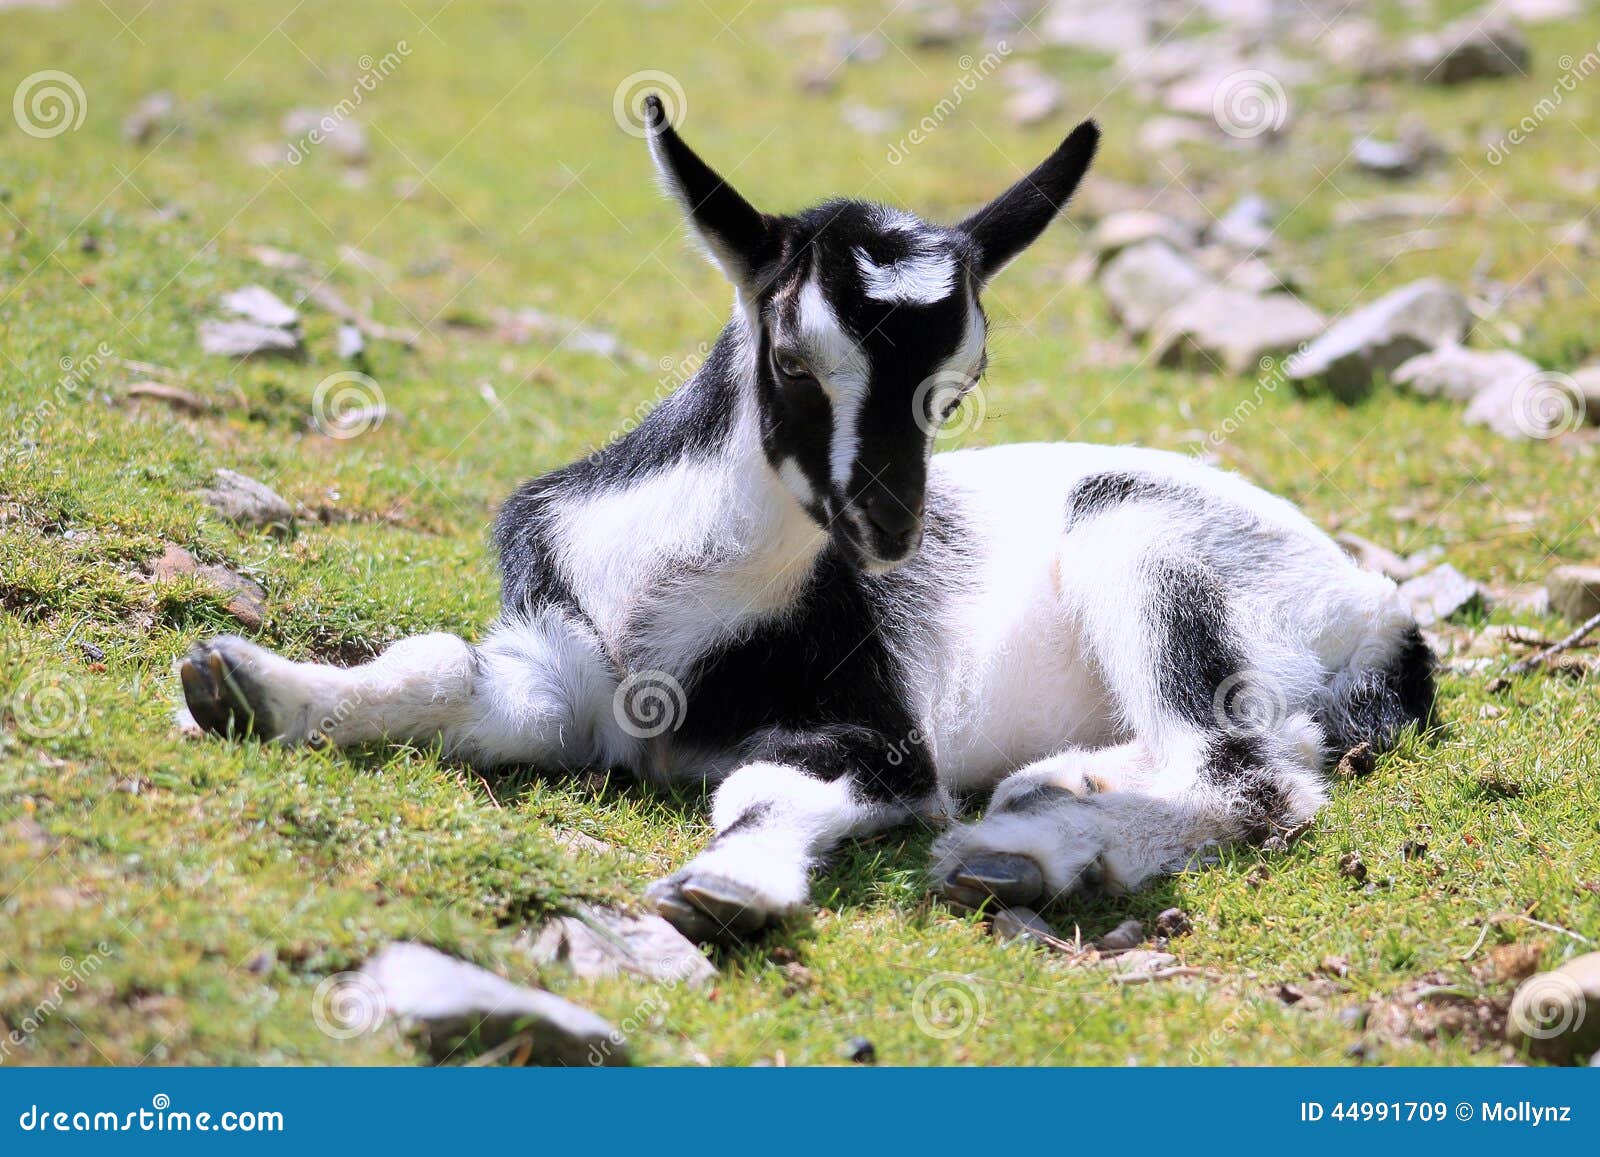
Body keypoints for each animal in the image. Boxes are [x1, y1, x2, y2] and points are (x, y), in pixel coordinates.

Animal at [179, 97, 1434, 943]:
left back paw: (1020, 852)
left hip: (1148, 543)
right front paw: (244, 688)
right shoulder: (561, 665)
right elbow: (441, 667)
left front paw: (725, 887)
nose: (887, 528)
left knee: (1255, 774)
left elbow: (773, 787)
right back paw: (1052, 790)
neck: (669, 600)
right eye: (791, 355)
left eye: (957, 383)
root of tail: (1379, 606)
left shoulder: (884, 739)